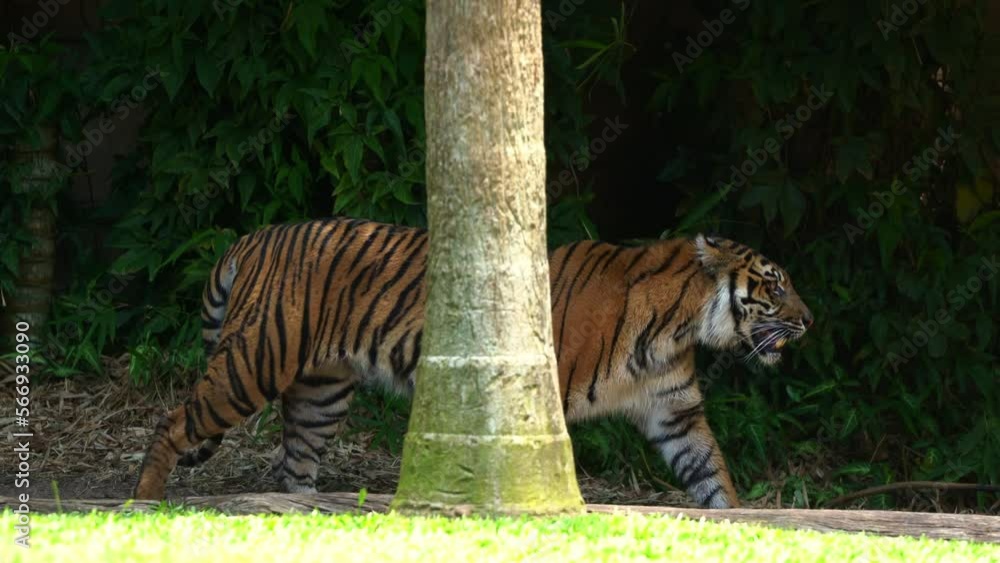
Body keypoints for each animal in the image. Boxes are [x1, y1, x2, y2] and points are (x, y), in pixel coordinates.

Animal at [133, 217, 812, 508]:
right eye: (775, 285)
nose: (810, 321)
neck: (678, 325)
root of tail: (253, 237)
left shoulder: (676, 412)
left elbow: (710, 472)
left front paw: (737, 523)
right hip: (254, 360)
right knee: (173, 423)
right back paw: (143, 503)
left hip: (321, 393)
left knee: (292, 466)